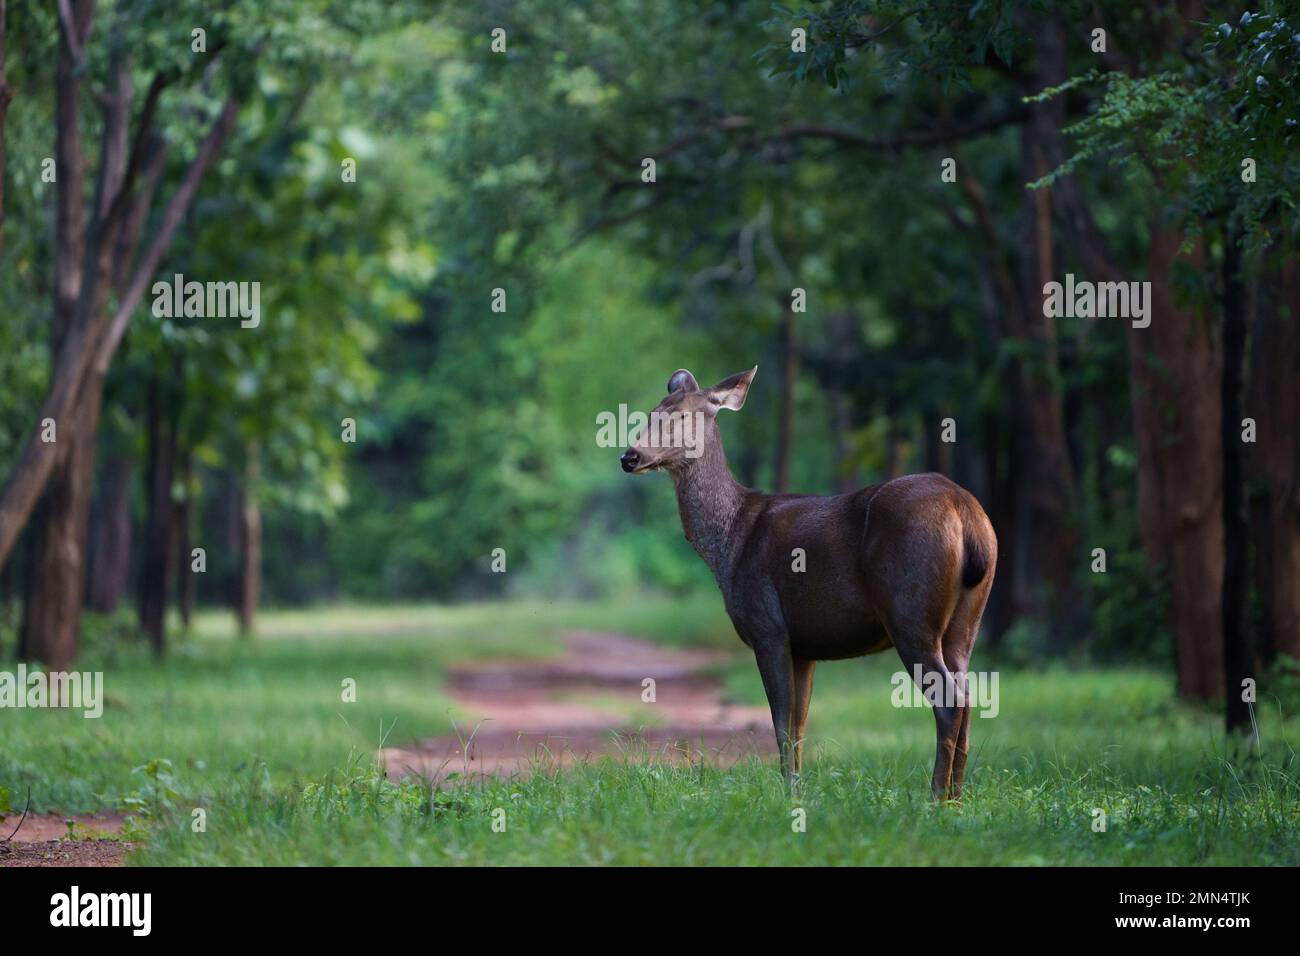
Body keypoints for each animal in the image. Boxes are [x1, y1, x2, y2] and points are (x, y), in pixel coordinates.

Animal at [619, 366, 997, 801]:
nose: (630, 456)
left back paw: (935, 797)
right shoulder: (805, 646)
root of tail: (966, 513)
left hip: (911, 610)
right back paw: (956, 798)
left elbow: (781, 721)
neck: (730, 541)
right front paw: (797, 790)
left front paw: (788, 794)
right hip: (967, 620)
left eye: (680, 415)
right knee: (968, 694)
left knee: (949, 700)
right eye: (651, 413)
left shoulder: (768, 626)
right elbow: (799, 723)